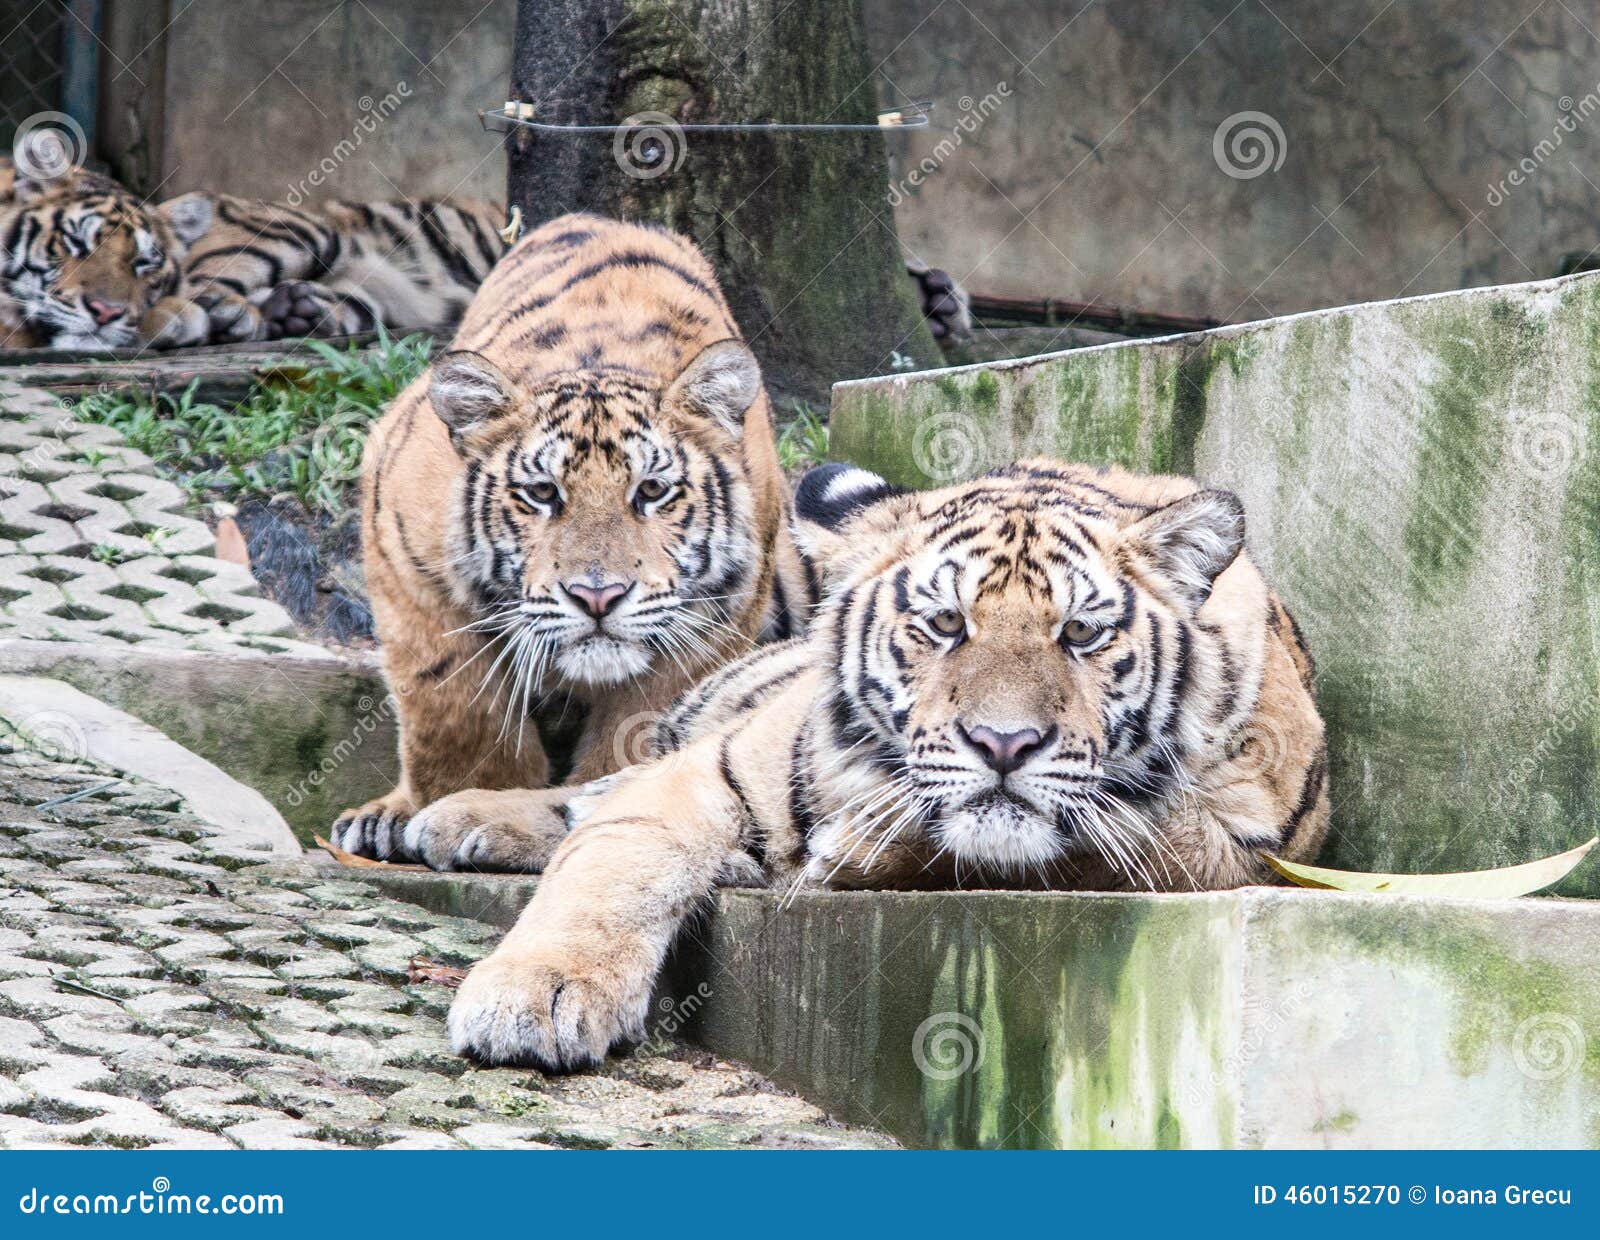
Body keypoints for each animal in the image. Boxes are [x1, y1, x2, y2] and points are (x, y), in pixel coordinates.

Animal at [328, 212, 815, 864]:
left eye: (652, 490)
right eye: (542, 492)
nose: (597, 597)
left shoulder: (712, 618)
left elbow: (635, 742)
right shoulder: (410, 571)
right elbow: (455, 714)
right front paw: (462, 800)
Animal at [424, 458, 1331, 1069]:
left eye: (1080, 633)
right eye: (944, 623)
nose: (1004, 744)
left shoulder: (1245, 837)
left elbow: (1110, 840)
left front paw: (846, 849)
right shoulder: (719, 765)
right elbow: (616, 857)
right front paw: (534, 997)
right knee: (598, 792)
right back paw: (450, 820)